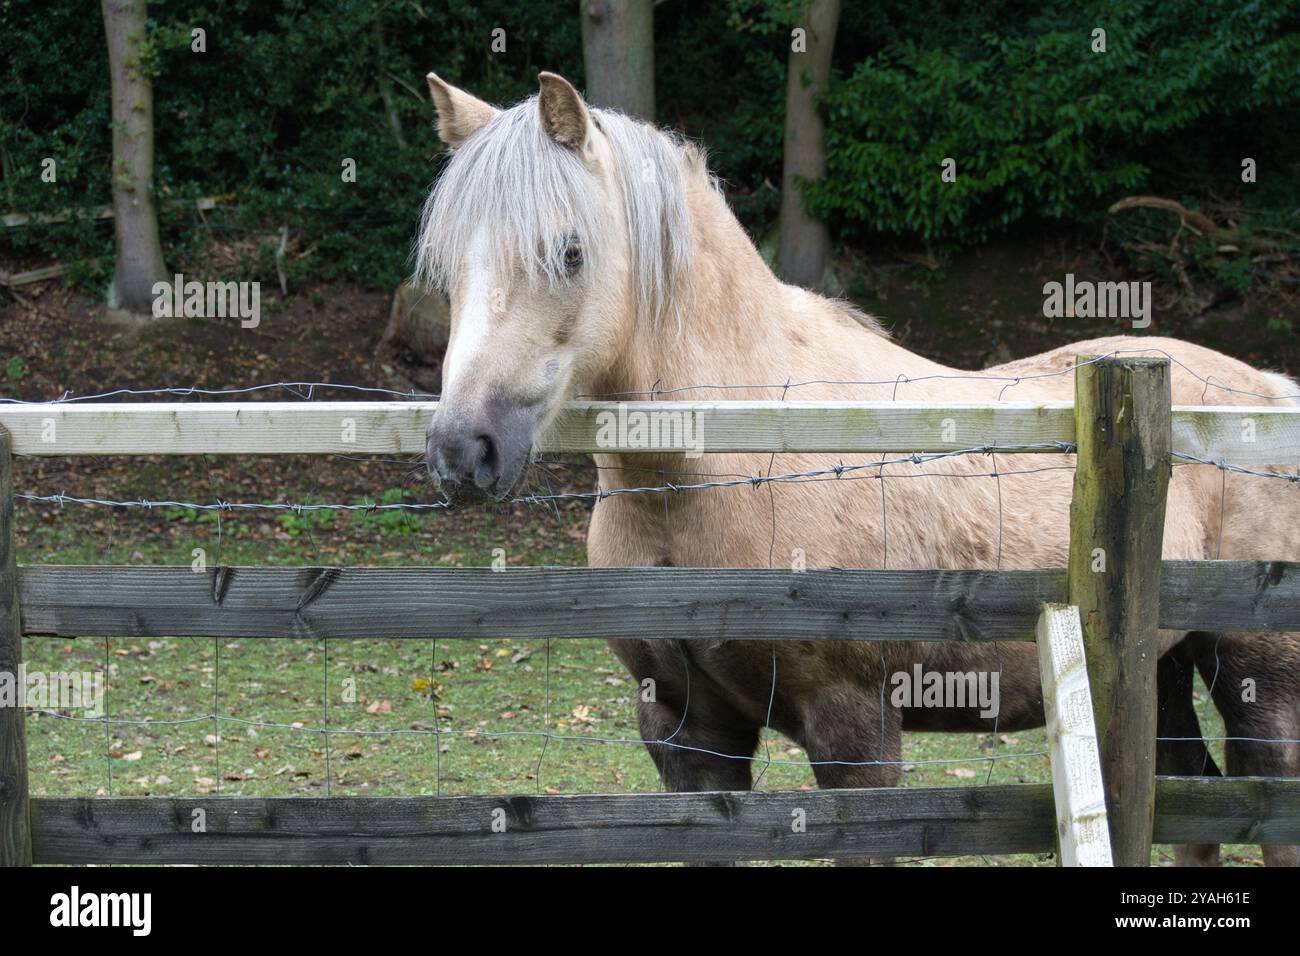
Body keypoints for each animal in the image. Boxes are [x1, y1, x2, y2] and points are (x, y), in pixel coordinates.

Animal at [416, 71, 1300, 866]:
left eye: (569, 252)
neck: (723, 472)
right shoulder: (688, 737)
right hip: (1164, 667)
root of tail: (1265, 392)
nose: (463, 448)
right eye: (448, 265)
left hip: (1257, 679)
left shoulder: (854, 738)